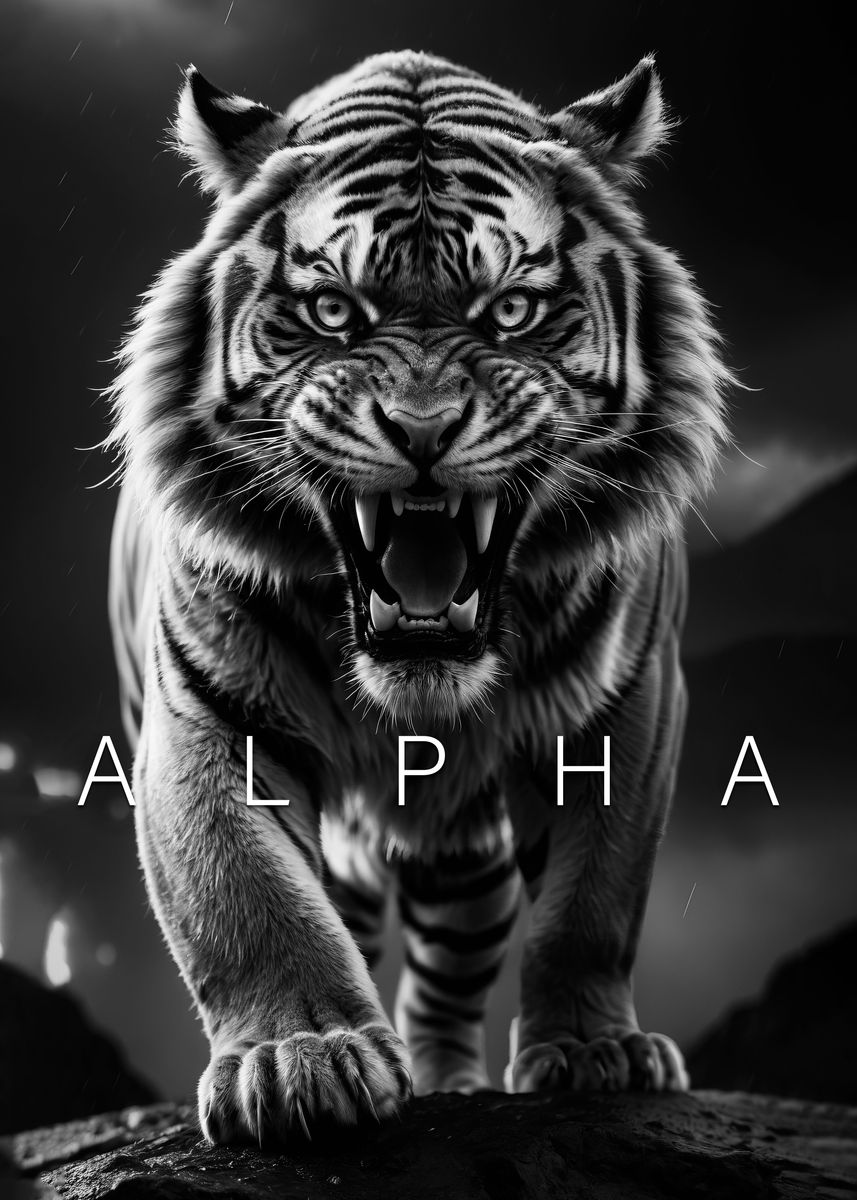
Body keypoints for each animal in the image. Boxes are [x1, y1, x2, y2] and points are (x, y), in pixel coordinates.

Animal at [107, 50, 729, 1144]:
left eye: (510, 312)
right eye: (333, 312)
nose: (424, 428)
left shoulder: (629, 702)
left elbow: (592, 899)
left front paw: (594, 1054)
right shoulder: (205, 712)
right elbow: (245, 895)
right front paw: (297, 1058)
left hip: (463, 852)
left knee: (448, 967)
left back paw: (452, 1078)